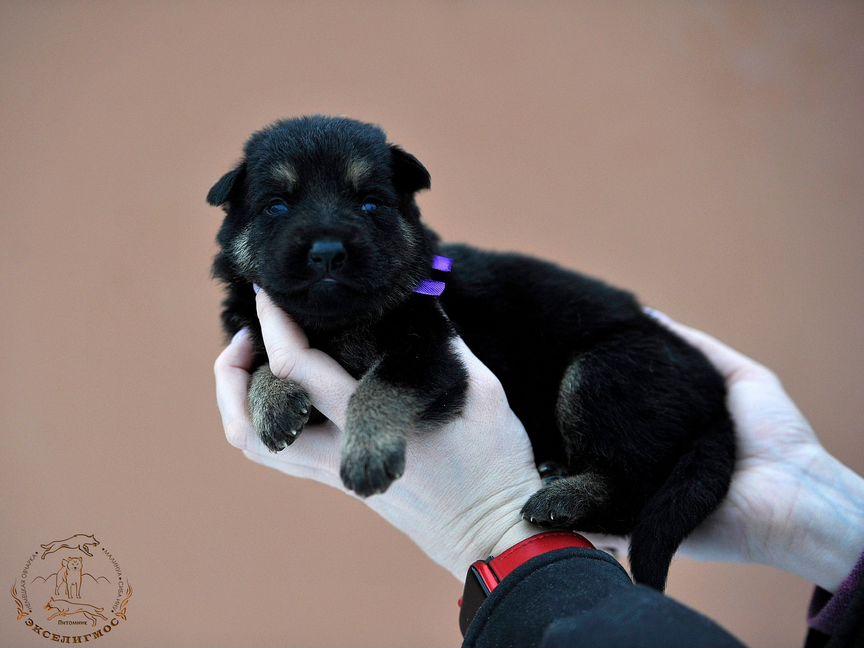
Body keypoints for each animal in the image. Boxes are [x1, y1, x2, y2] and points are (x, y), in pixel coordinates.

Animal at [208, 114, 736, 588]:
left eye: (370, 204)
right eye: (277, 206)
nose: (327, 252)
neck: (335, 322)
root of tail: (717, 398)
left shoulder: (430, 354)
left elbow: (378, 387)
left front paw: (368, 451)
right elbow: (264, 364)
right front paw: (273, 402)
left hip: (604, 370)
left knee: (631, 494)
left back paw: (563, 498)